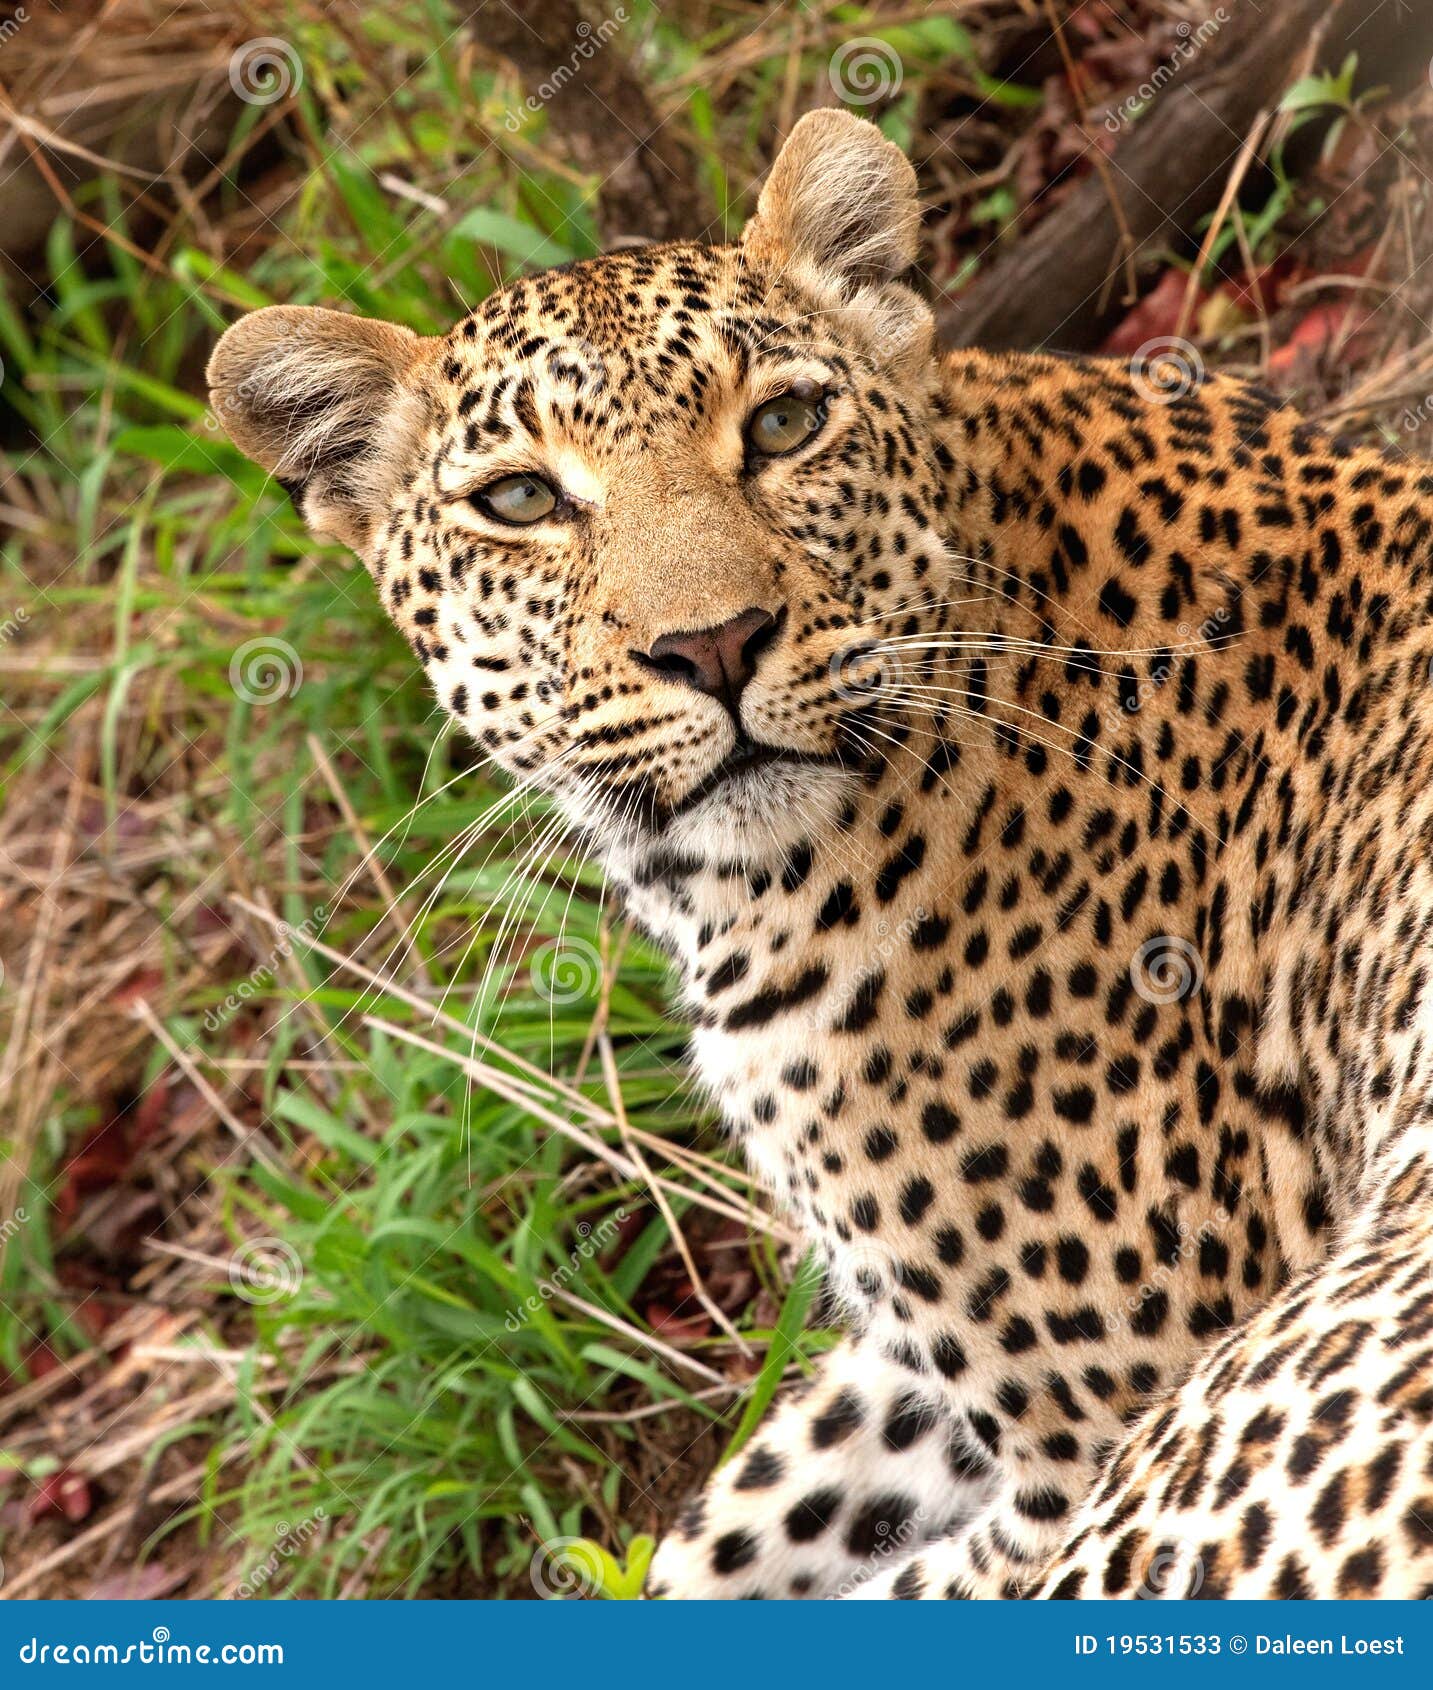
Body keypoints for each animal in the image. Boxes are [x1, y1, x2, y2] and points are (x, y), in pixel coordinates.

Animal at [208, 108, 1433, 1600]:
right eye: (521, 500)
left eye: (785, 424)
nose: (713, 643)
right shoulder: (921, 1355)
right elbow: (733, 1525)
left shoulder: (1083, 1435)